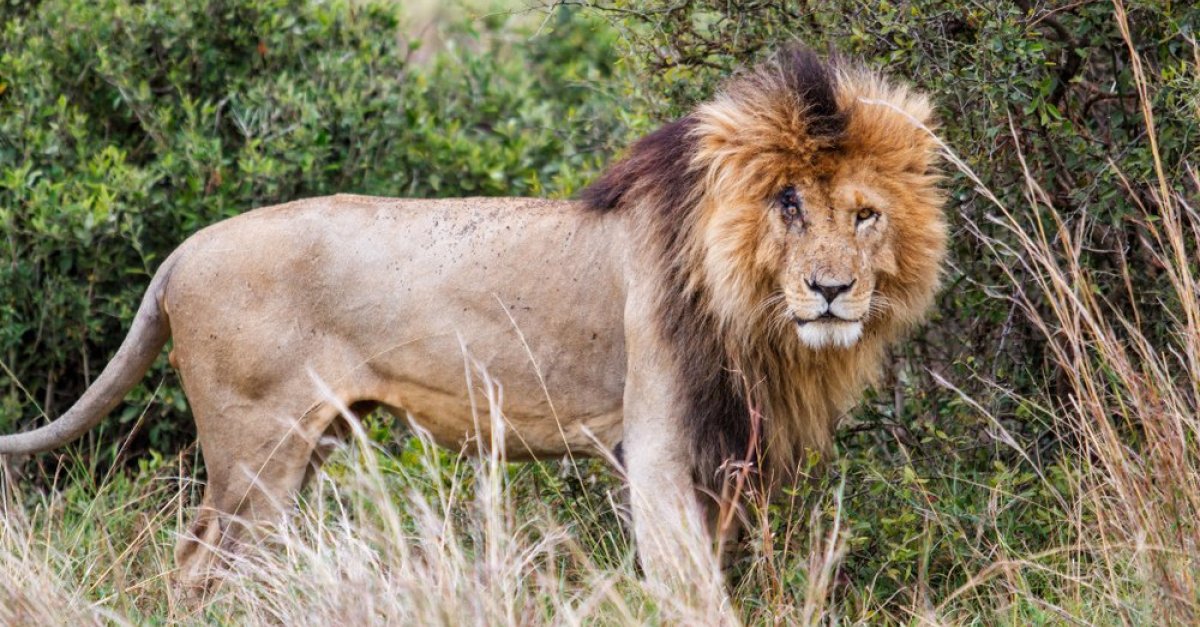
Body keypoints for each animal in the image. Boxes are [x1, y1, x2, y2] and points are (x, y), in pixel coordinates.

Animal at [0, 47, 945, 595]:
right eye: (787, 204)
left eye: (864, 214)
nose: (832, 289)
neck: (748, 305)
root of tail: (180, 253)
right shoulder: (657, 444)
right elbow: (692, 593)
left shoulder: (724, 456)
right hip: (254, 450)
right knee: (199, 563)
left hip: (306, 444)